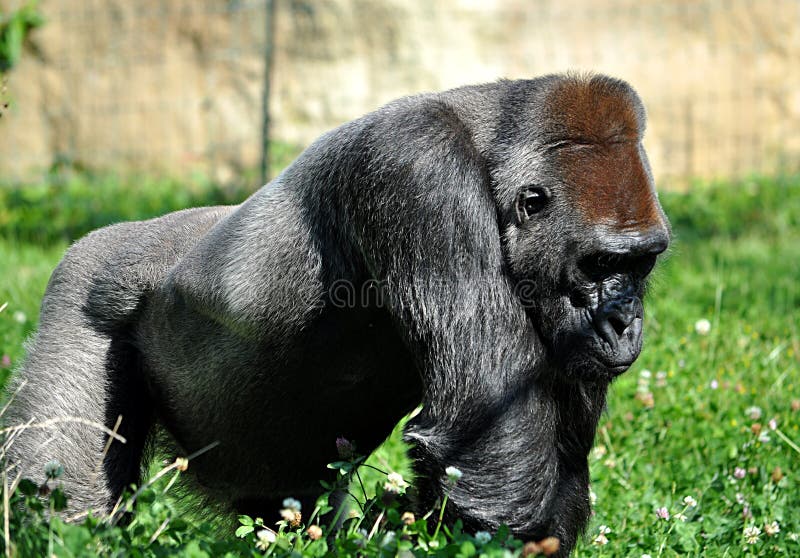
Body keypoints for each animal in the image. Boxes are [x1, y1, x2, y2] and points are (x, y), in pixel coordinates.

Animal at [4, 73, 669, 555]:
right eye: (599, 264)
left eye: (642, 264)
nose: (624, 323)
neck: (489, 143)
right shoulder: (417, 168)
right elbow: (489, 444)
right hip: (83, 286)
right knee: (66, 502)